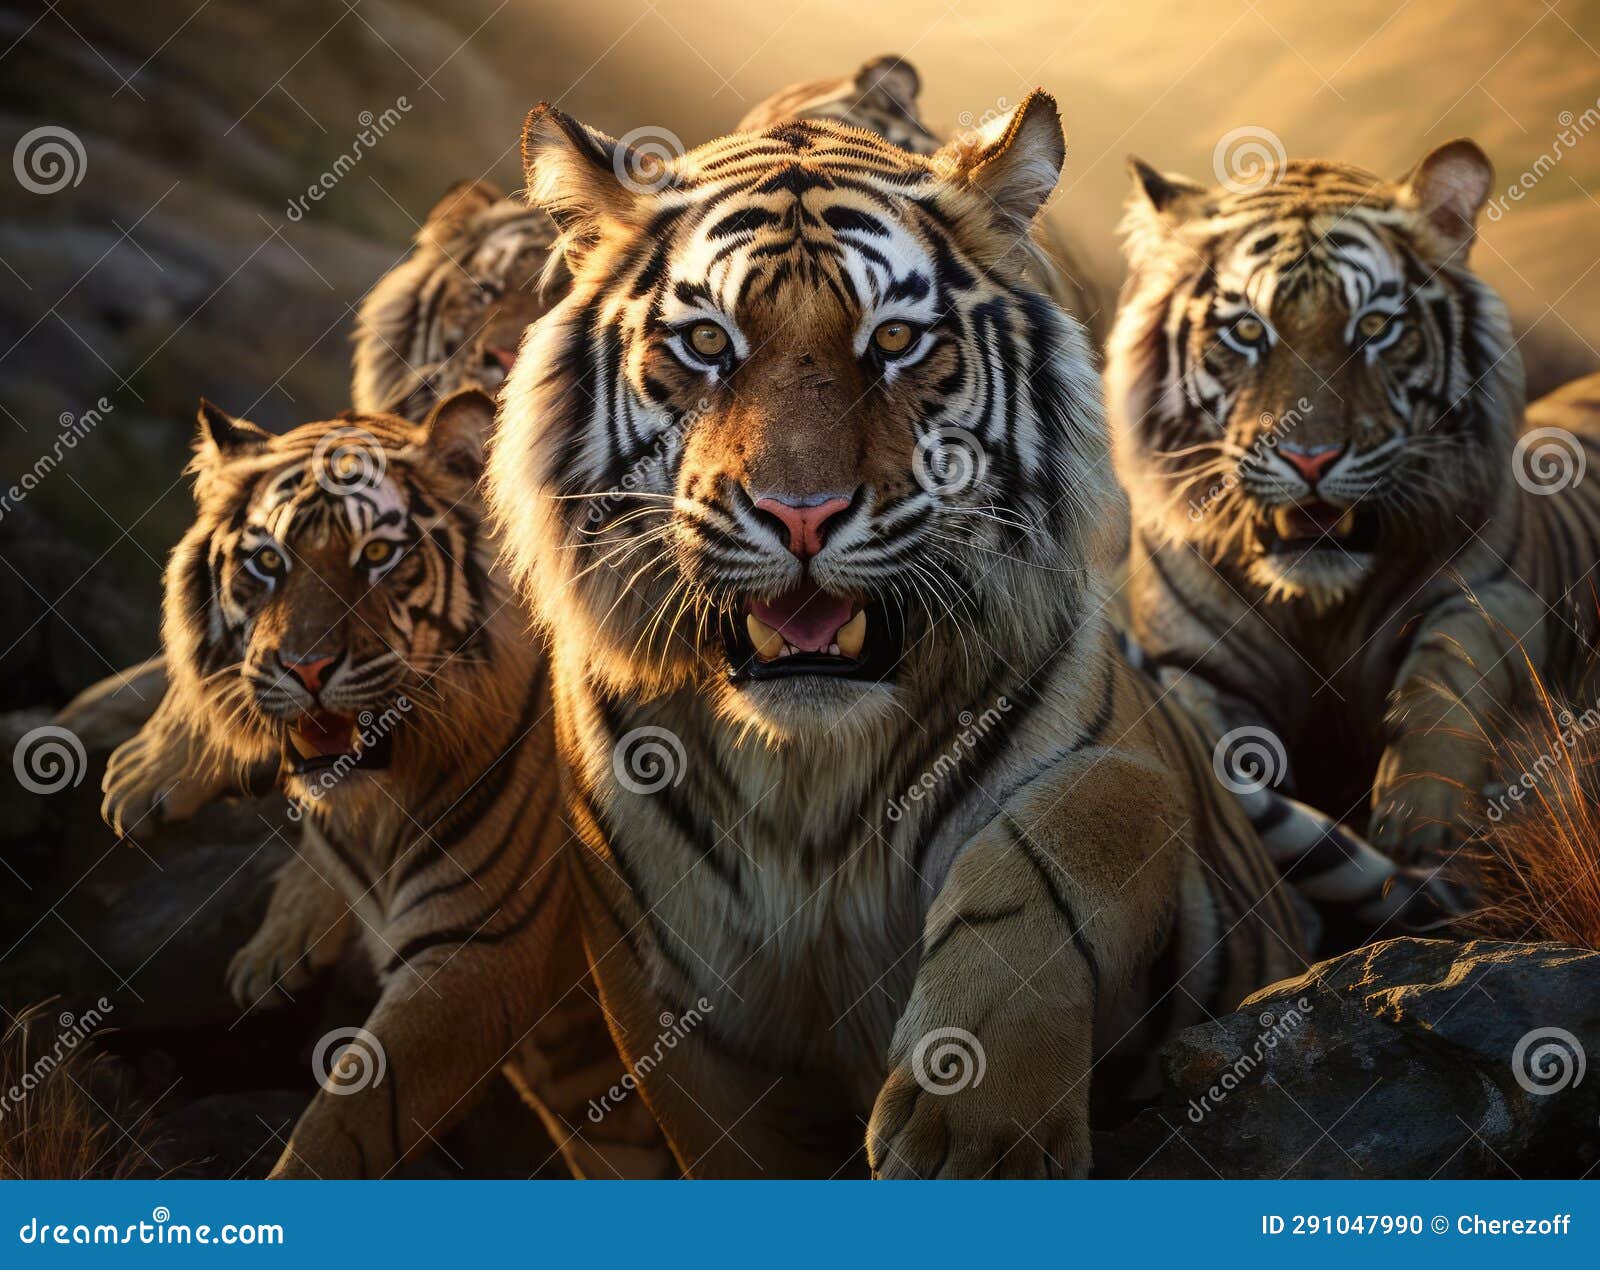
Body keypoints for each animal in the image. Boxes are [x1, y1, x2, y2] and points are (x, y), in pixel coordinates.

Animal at [101, 391, 674, 1180]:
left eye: (377, 555)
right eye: (268, 562)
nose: (305, 669)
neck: (374, 801)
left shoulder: (475, 948)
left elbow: (344, 1126)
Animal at [485, 91, 1310, 1179]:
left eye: (893, 341)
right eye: (706, 342)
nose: (800, 514)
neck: (807, 769)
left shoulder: (1132, 792)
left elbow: (1068, 835)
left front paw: (980, 1129)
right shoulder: (679, 1024)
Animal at [1105, 138, 1600, 882]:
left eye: (1374, 326)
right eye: (1247, 328)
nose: (1310, 459)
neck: (1319, 609)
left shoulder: (1496, 596)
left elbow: (1449, 677)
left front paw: (1424, 824)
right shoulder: (1193, 663)